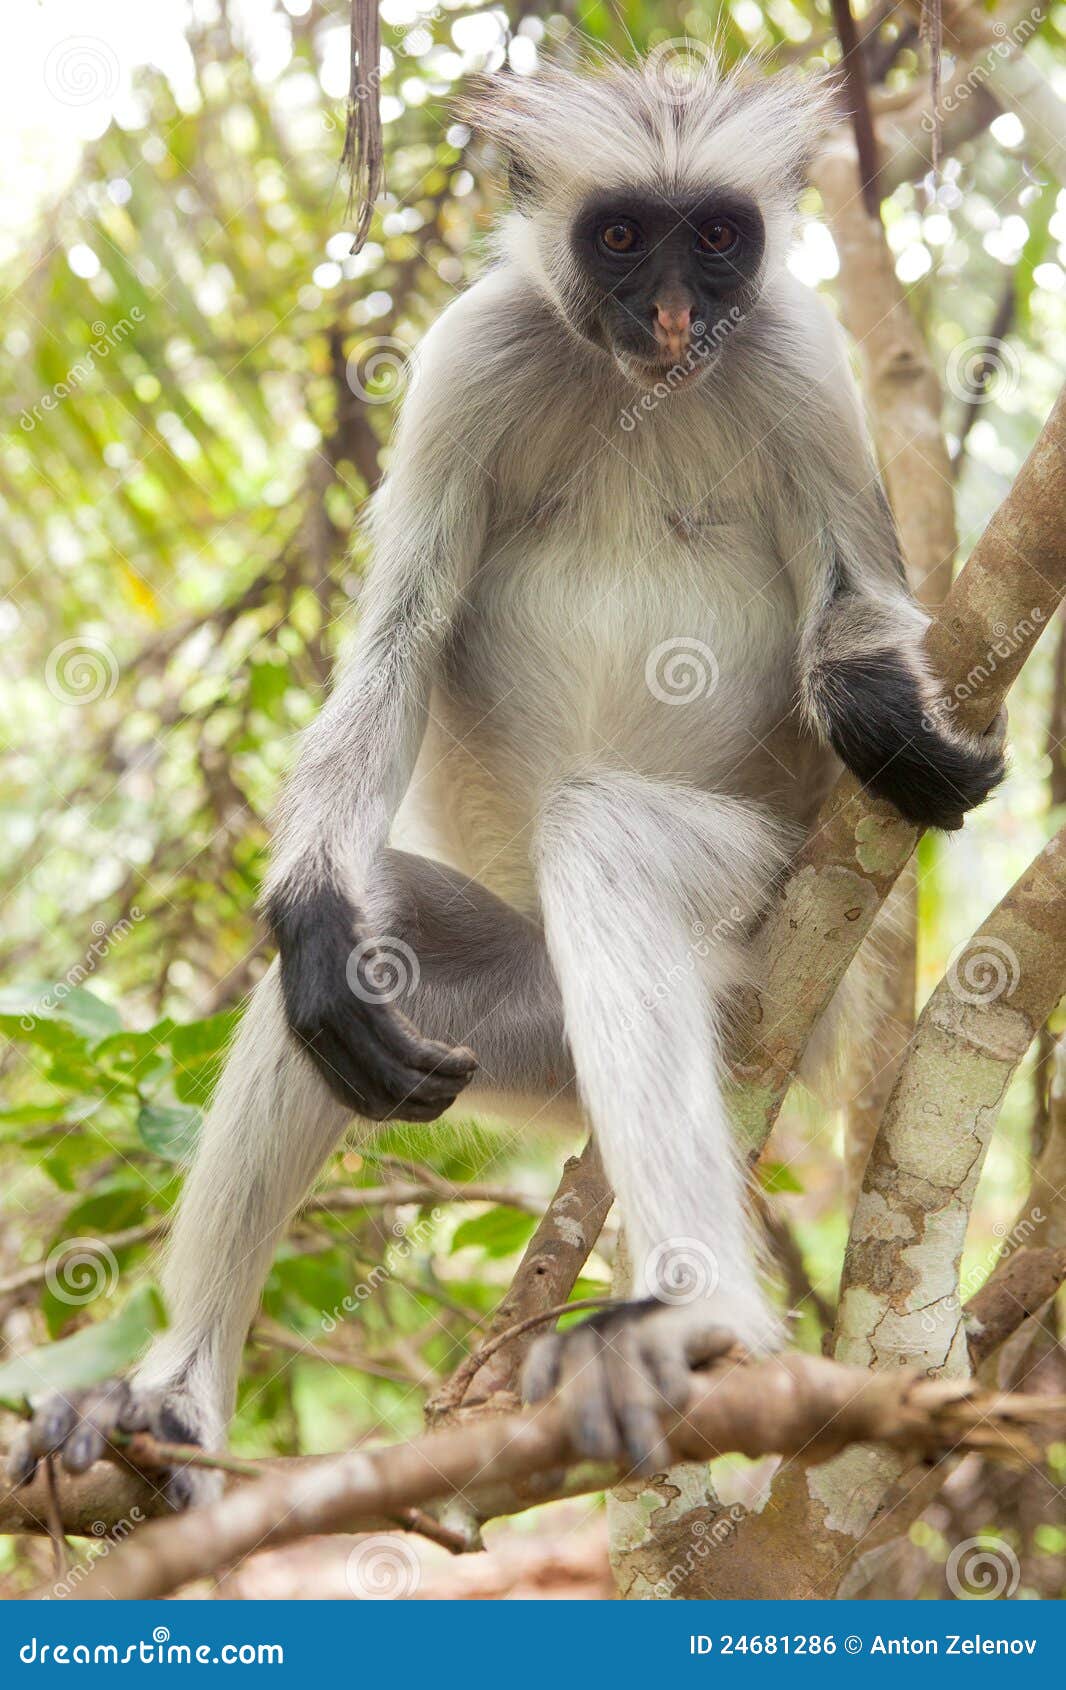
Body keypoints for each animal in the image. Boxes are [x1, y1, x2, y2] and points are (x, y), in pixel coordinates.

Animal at [13, 56, 1004, 1499]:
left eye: (716, 237)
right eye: (620, 236)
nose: (670, 310)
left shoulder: (797, 355)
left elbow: (862, 602)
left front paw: (874, 710)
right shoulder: (473, 353)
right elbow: (400, 638)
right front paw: (312, 924)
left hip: (766, 930)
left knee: (602, 838)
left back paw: (697, 1319)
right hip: (521, 1023)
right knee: (371, 958)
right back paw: (174, 1396)